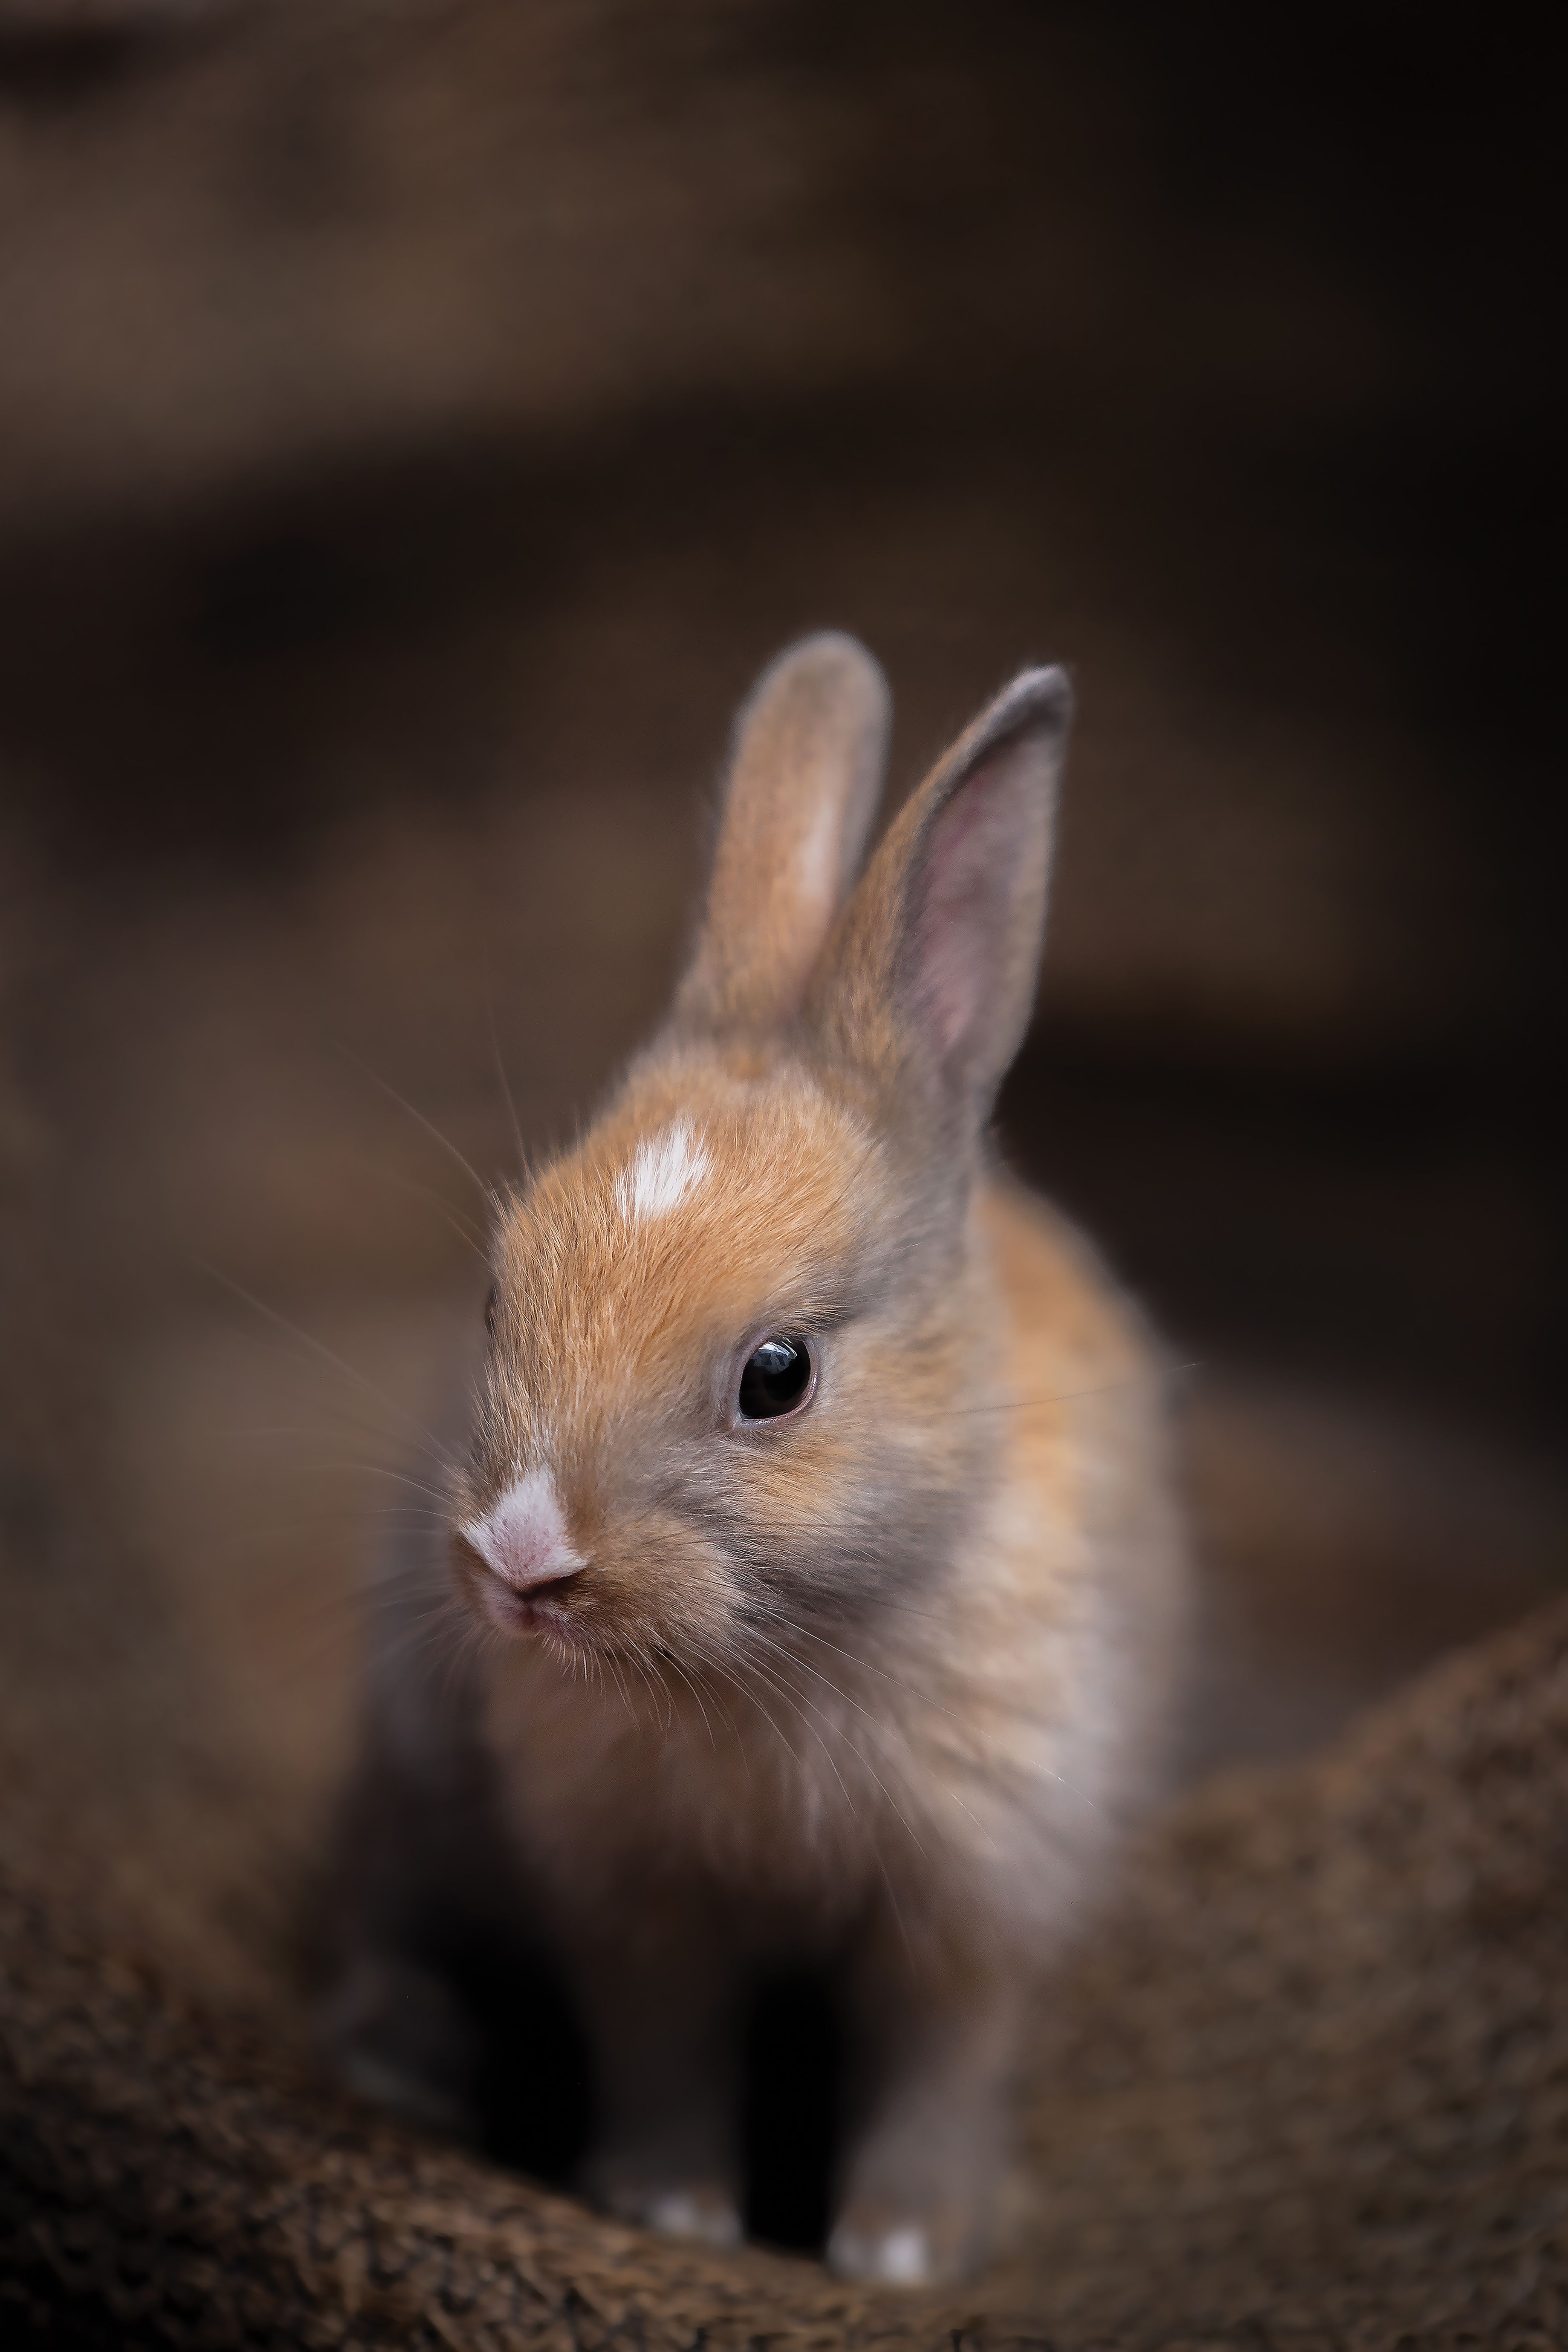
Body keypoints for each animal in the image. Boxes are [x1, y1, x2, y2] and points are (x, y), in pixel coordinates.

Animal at [320, 633, 1189, 2284]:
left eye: (775, 1377)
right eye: (497, 1296)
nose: (522, 1561)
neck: (777, 1663)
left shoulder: (977, 1891)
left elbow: (937, 2065)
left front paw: (899, 2252)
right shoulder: (633, 1898)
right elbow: (664, 2045)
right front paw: (673, 2210)